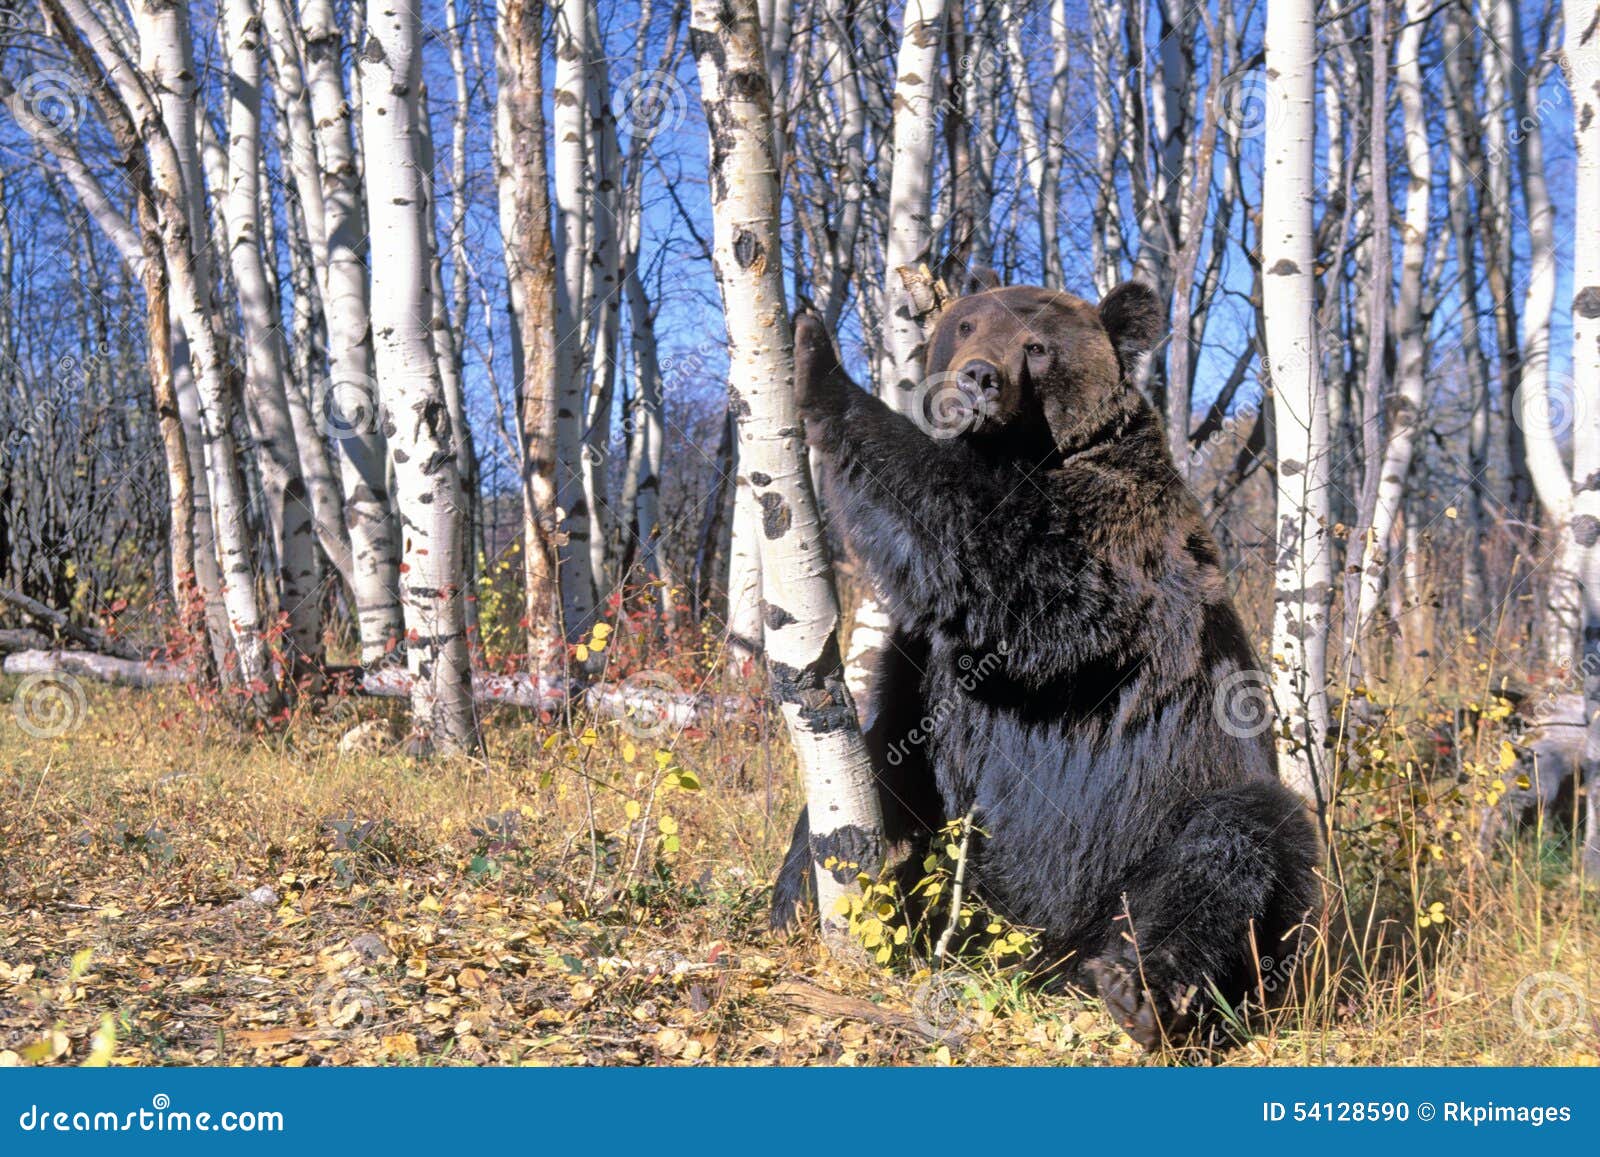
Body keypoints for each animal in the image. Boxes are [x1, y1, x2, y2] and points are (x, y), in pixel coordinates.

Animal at [770, 280, 1323, 1049]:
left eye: (1036, 346)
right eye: (966, 324)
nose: (977, 378)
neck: (1027, 454)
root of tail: (1049, 958)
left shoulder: (1111, 543)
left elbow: (1002, 554)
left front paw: (816, 353)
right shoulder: (923, 653)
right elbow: (897, 745)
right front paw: (796, 881)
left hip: (1165, 817)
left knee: (1240, 842)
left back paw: (1141, 990)